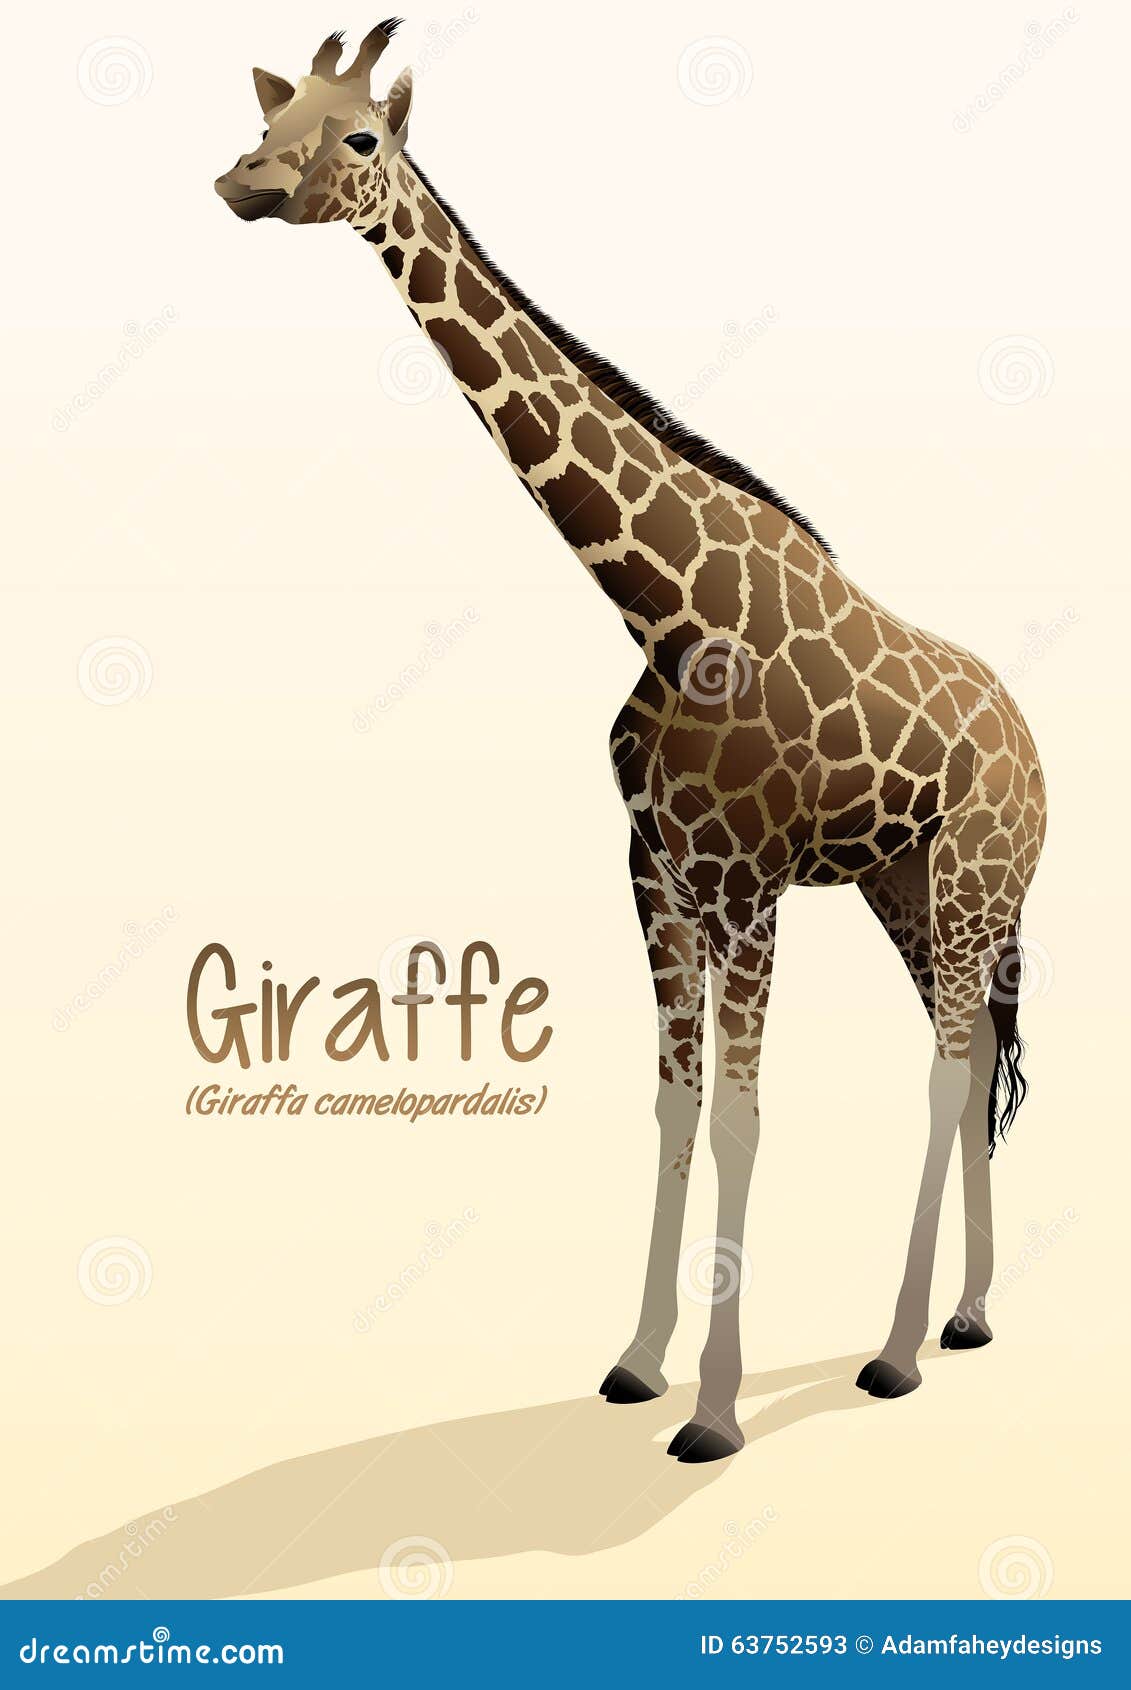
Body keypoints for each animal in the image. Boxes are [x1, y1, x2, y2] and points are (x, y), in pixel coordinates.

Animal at [216, 22, 1047, 1463]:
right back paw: (965, 1315)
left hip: (970, 883)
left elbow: (743, 1118)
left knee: (949, 1069)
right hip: (907, 887)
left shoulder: (749, 885)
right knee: (964, 1057)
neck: (661, 608)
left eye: (359, 134)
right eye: (275, 119)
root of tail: (1036, 747)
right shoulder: (655, 875)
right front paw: (637, 1362)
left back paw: (895, 1350)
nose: (240, 182)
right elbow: (674, 1105)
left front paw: (712, 1410)